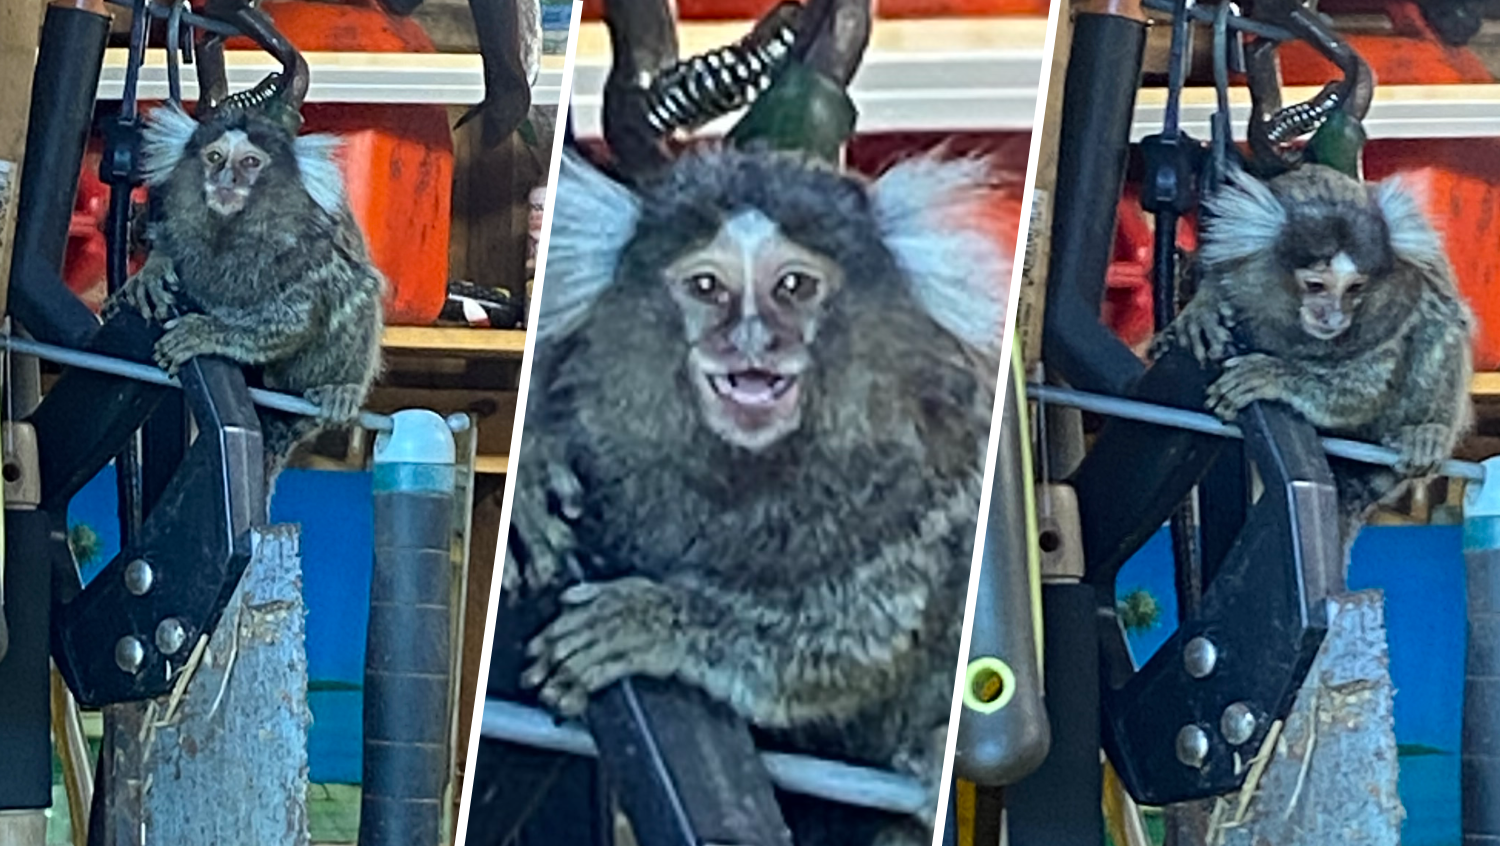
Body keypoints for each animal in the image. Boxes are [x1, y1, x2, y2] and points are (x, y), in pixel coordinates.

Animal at [105, 102, 385, 489]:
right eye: (215, 157)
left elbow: (292, 320)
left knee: (357, 292)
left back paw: (341, 389)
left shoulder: (307, 249)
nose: (226, 179)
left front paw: (203, 332)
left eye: (250, 162)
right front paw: (151, 271)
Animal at [504, 146, 1011, 845]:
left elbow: (856, 639)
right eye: (706, 288)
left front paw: (657, 620)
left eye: (793, 287)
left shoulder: (930, 475)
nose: (750, 341)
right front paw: (531, 473)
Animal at [1157, 163, 1475, 550]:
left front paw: (1274, 376)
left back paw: (1428, 433)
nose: (1334, 317)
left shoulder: (1399, 296)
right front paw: (1198, 313)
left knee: (1441, 320)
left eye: (1355, 288)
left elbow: (1371, 380)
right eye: (1315, 286)